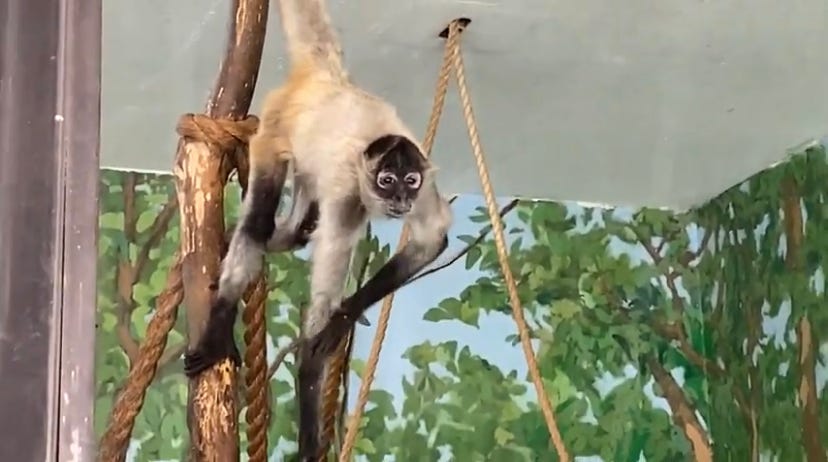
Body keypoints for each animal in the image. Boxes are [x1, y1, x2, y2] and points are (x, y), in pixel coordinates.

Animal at [182, 0, 453, 458]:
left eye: (410, 181)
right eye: (387, 180)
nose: (400, 200)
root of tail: (328, 79)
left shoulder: (424, 186)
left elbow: (432, 237)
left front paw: (343, 319)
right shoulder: (347, 194)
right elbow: (323, 290)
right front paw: (310, 377)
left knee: (294, 228)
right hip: (274, 129)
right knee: (258, 223)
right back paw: (220, 327)